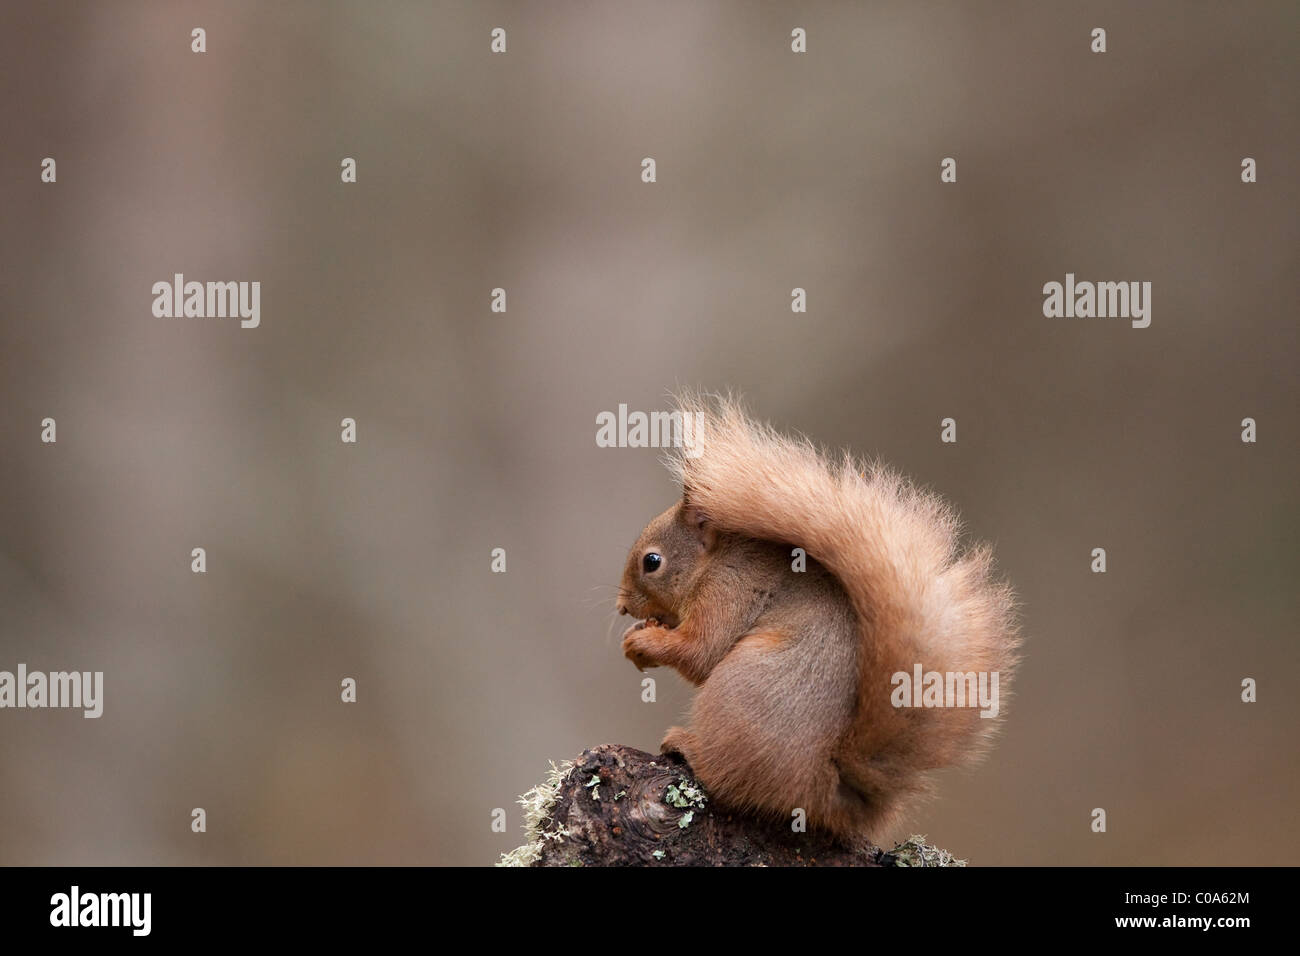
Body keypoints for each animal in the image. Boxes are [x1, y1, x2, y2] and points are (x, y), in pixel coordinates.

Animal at [616, 394, 1020, 842]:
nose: (623, 606)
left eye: (652, 562)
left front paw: (642, 642)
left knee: (727, 778)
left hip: (740, 692)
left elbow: (701, 651)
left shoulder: (728, 594)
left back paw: (688, 747)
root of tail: (827, 790)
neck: (715, 562)